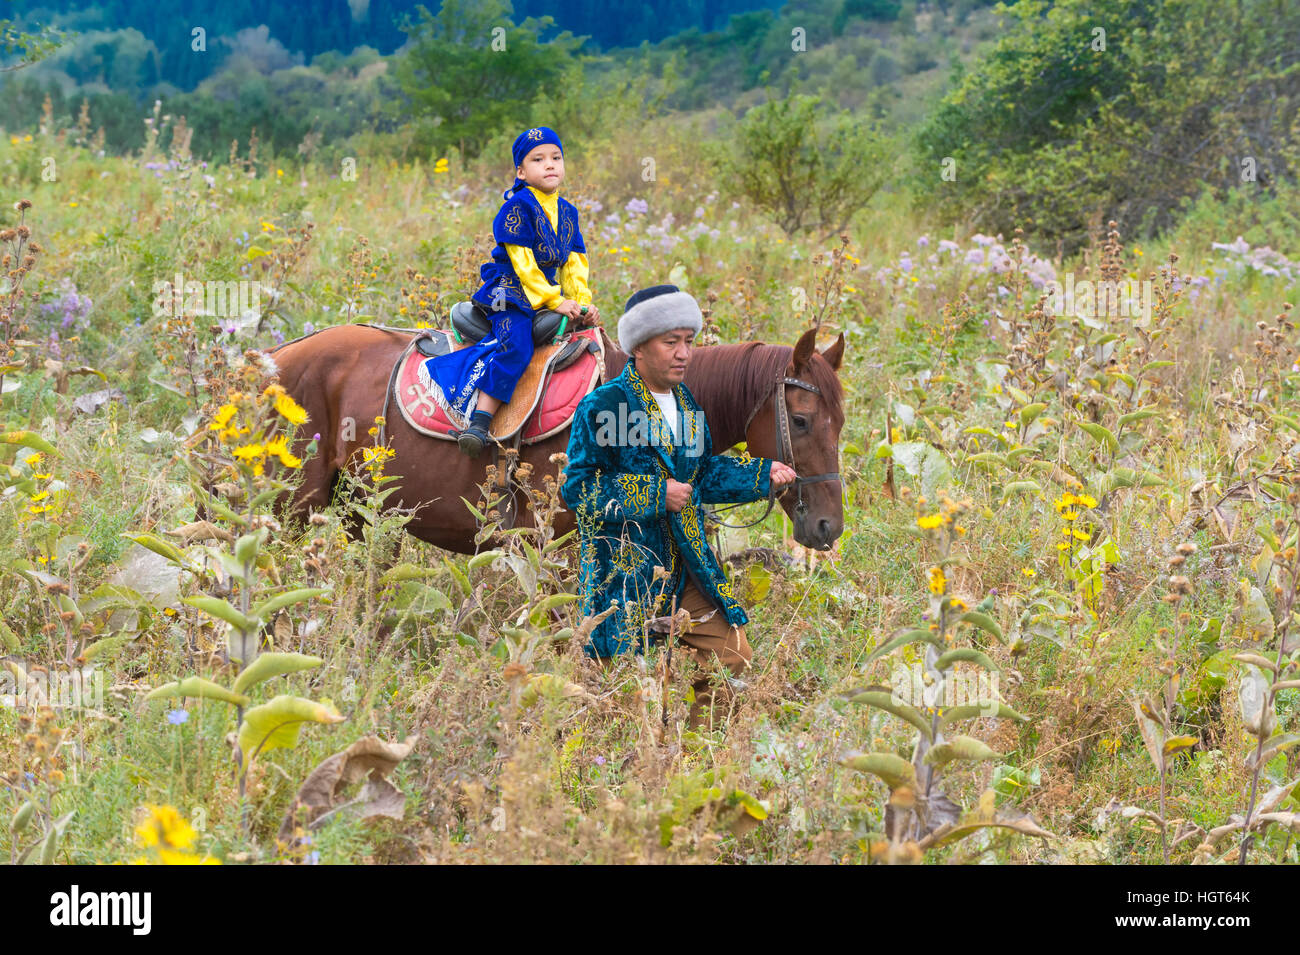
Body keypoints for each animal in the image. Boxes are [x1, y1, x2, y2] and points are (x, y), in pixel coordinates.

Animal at [266, 323, 846, 553]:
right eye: (800, 421)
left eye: (840, 424)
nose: (829, 527)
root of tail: (278, 356)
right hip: (295, 507)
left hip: (350, 508)